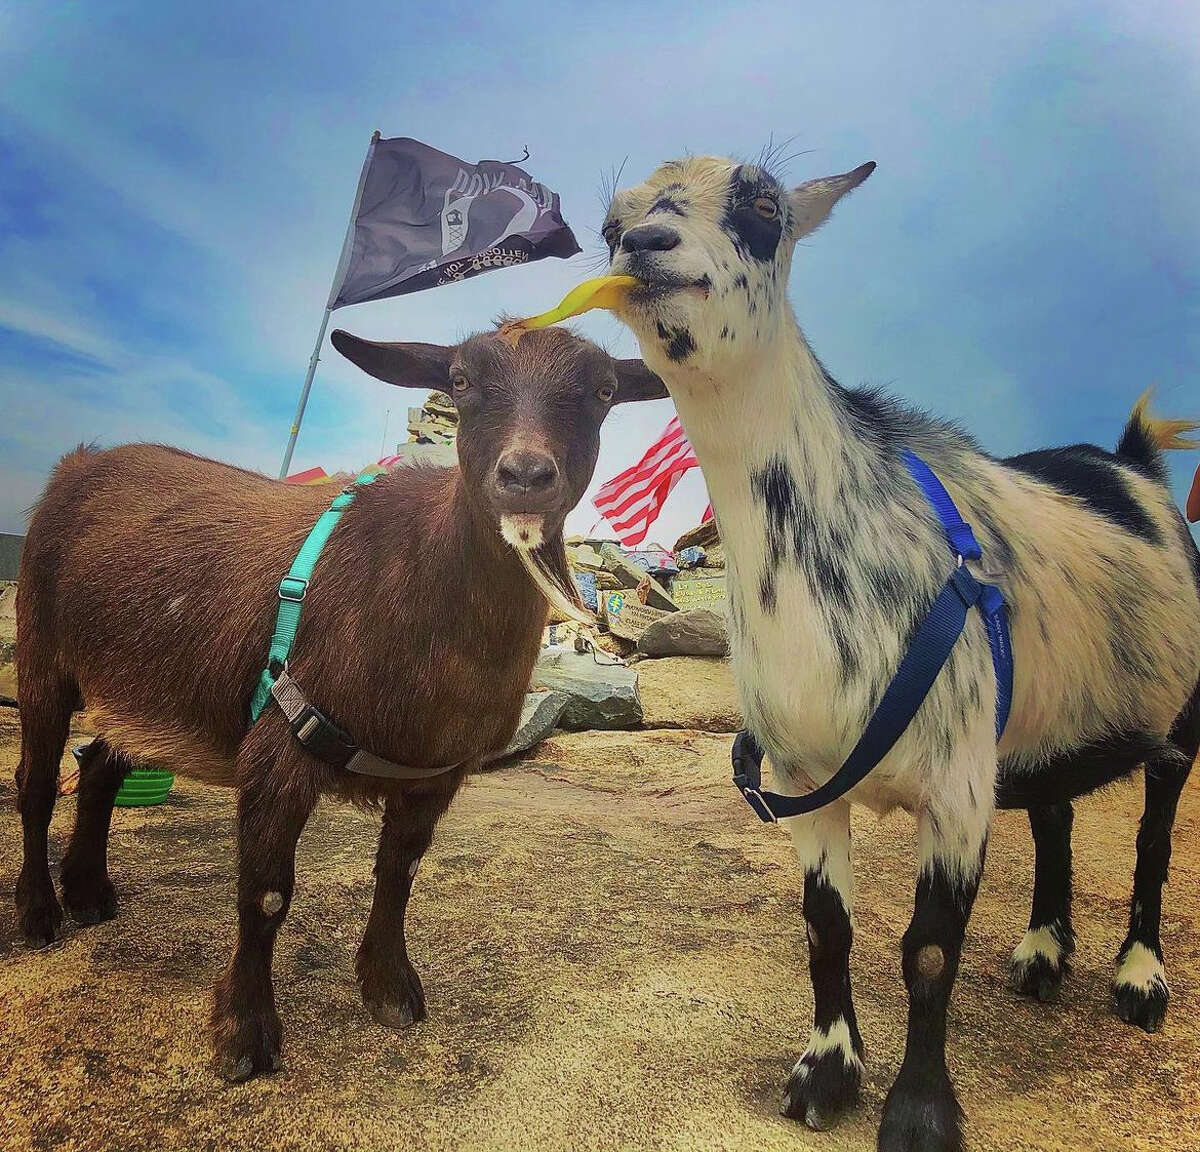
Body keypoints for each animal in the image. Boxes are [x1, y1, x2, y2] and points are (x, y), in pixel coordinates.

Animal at [13, 324, 666, 1081]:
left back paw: (89, 894)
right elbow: (266, 893)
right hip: (43, 653)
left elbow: (399, 876)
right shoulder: (283, 741)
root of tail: (81, 462)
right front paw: (245, 1035)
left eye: (605, 390)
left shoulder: (432, 775)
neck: (420, 579)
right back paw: (38, 914)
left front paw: (390, 990)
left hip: (143, 685)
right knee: (35, 783)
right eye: (461, 379)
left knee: (99, 768)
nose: (526, 475)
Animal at [599, 154, 1200, 1152]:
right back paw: (1043, 953)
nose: (644, 246)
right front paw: (826, 1075)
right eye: (609, 224)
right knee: (1056, 814)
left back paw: (1138, 977)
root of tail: (1135, 465)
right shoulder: (805, 779)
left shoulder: (957, 785)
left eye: (762, 204)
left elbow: (927, 951)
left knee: (1152, 840)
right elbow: (826, 928)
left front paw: (920, 1113)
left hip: (1177, 722)